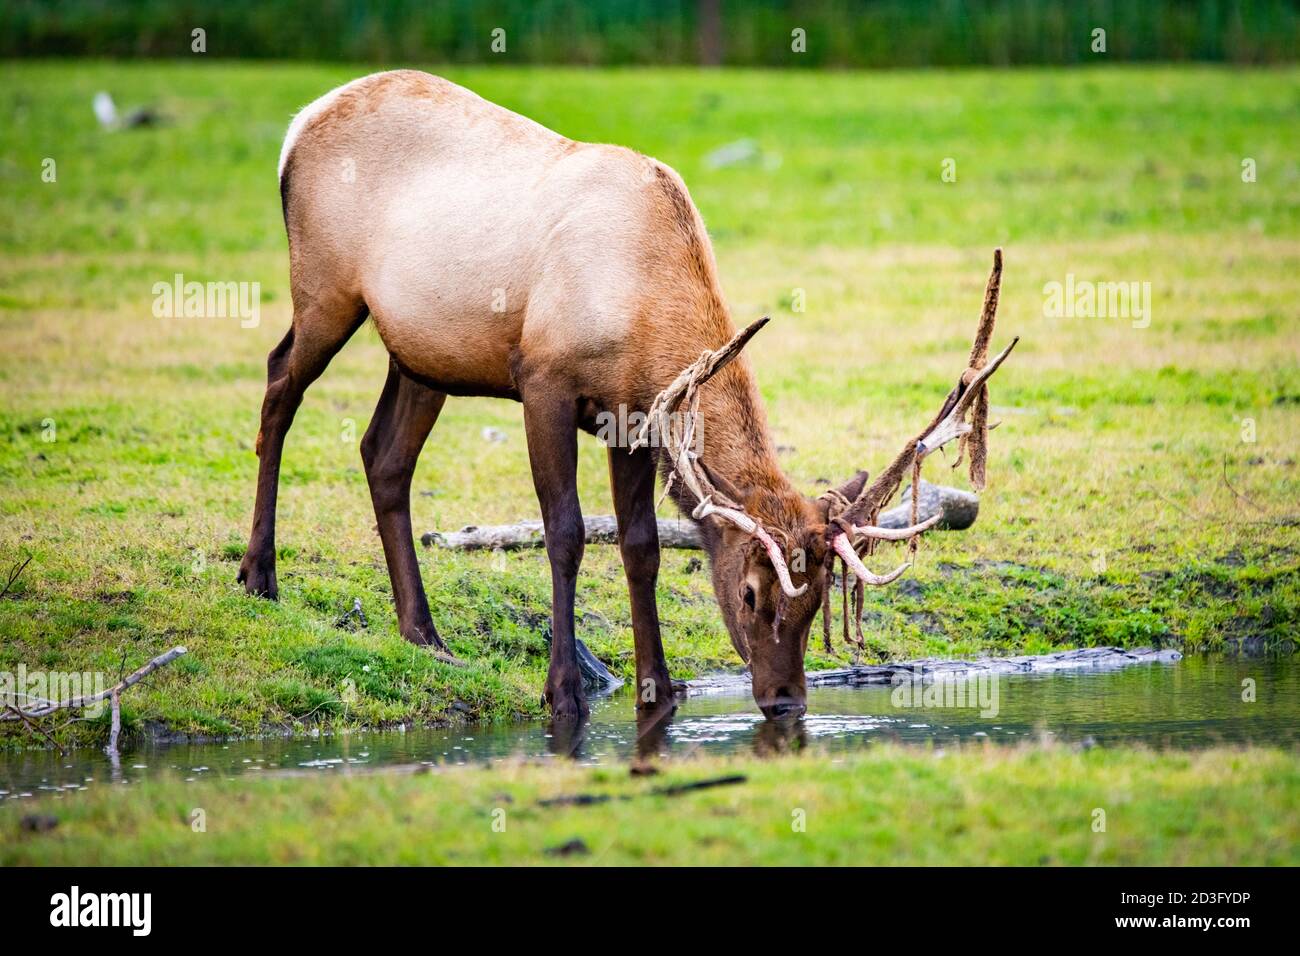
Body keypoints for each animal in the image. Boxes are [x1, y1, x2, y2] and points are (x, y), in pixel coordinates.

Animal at [239, 70, 1017, 722]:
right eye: (749, 592)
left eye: (821, 595)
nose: (786, 700)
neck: (643, 311)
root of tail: (297, 126)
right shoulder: (543, 382)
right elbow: (566, 533)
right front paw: (563, 691)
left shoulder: (633, 420)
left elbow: (641, 546)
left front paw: (657, 686)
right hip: (324, 289)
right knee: (278, 383)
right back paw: (259, 576)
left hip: (423, 355)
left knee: (383, 454)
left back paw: (424, 634)